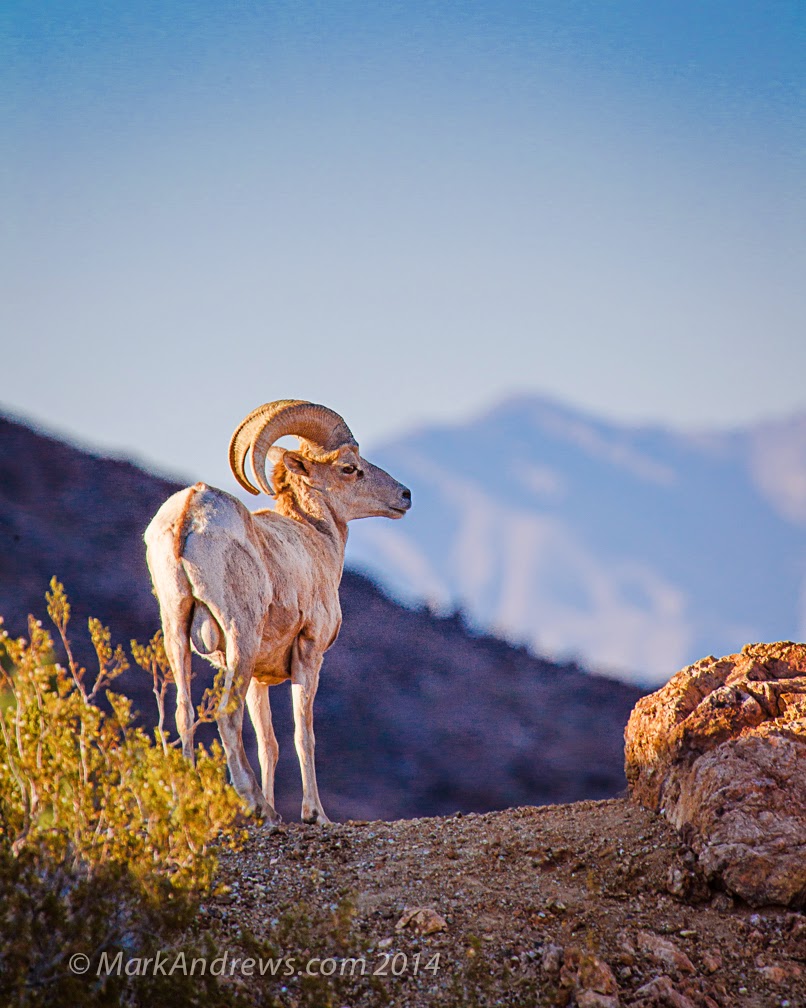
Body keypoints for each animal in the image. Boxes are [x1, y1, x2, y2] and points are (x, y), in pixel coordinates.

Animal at [144, 400, 411, 823]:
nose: (405, 495)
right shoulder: (309, 653)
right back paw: (258, 808)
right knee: (226, 714)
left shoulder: (260, 677)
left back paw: (188, 806)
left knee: (183, 713)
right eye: (349, 467)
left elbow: (268, 744)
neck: (316, 539)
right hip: (240, 636)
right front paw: (314, 814)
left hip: (176, 630)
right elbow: (304, 736)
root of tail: (190, 511)